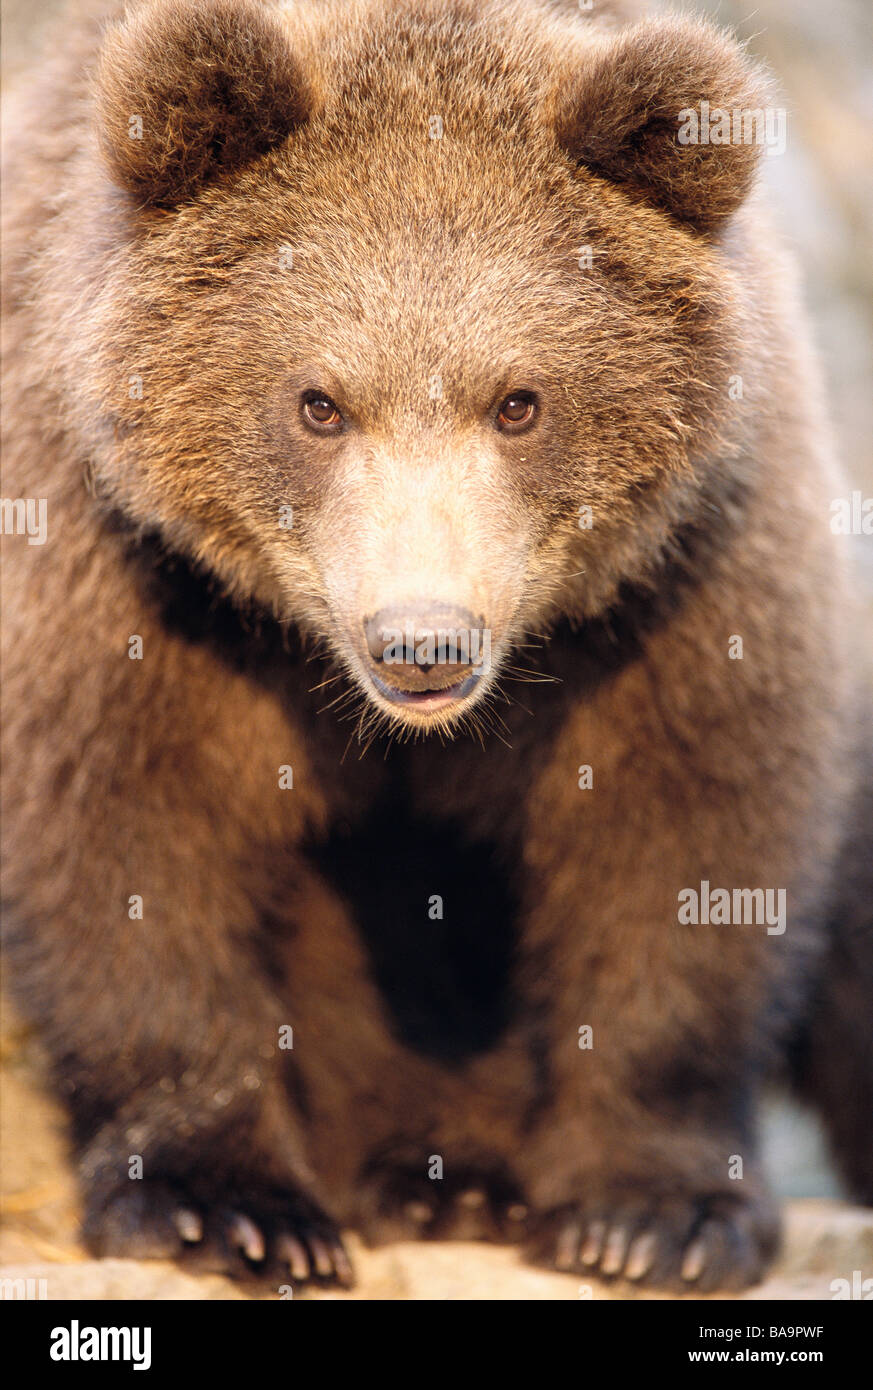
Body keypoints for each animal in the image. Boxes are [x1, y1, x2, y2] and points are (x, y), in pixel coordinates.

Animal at [1, 0, 871, 1294]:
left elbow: (684, 839)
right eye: (318, 401)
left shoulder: (682, 579)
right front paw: (226, 1206)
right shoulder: (125, 568)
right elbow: (126, 840)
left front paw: (652, 1215)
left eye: (520, 401)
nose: (424, 644)